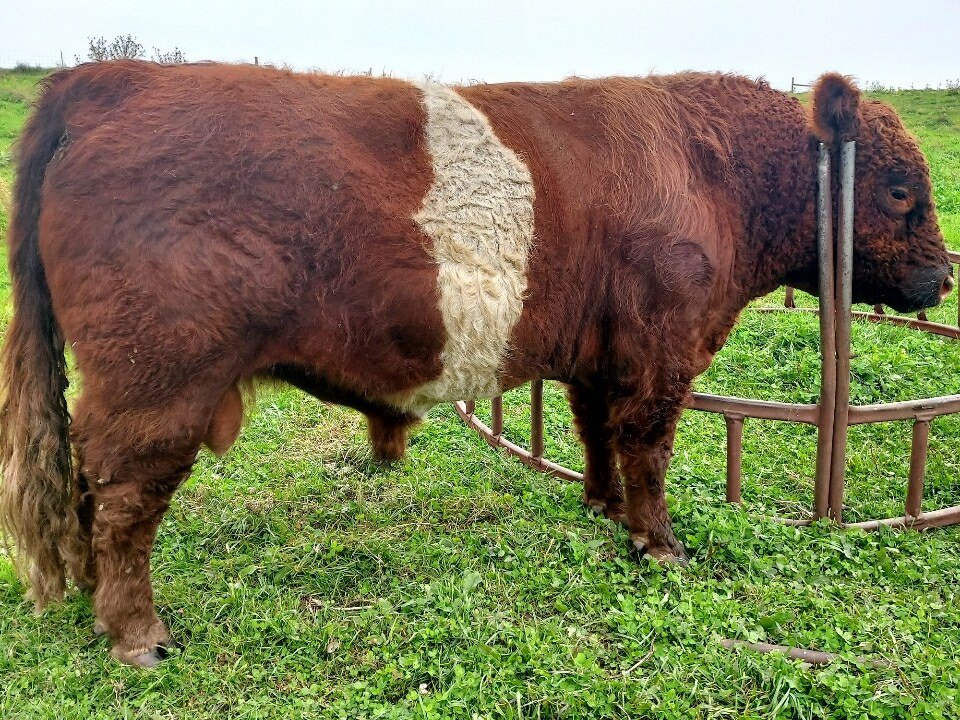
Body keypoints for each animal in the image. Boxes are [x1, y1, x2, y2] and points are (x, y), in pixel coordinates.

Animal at [0, 61, 952, 667]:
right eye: (901, 189)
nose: (944, 276)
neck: (707, 170)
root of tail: (103, 79)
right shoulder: (659, 352)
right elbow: (647, 449)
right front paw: (661, 545)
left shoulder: (597, 353)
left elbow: (595, 434)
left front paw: (602, 507)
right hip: (157, 384)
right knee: (123, 501)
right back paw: (137, 635)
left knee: (89, 495)